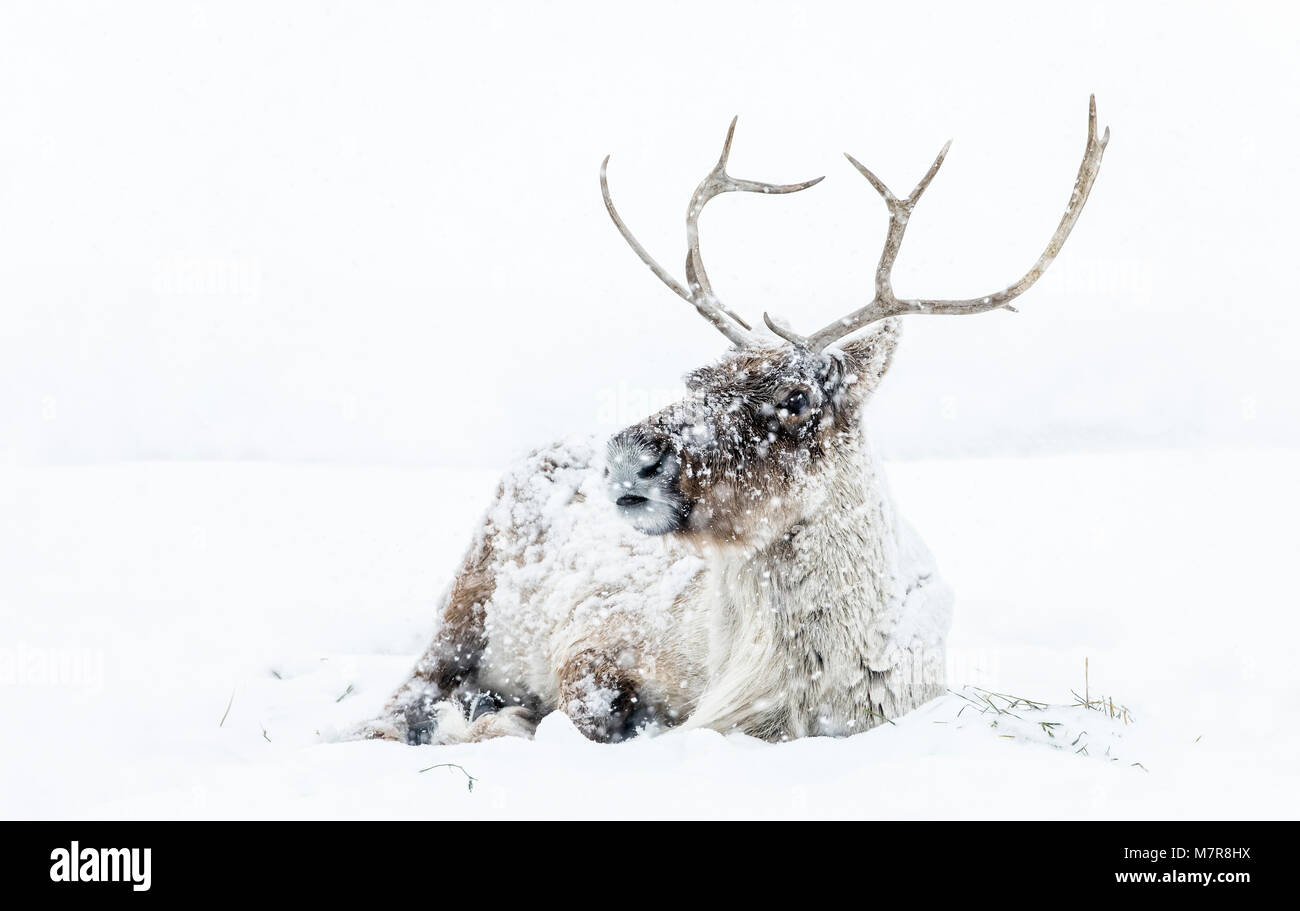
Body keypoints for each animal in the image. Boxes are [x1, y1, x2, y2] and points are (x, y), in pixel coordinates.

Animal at [359, 97, 1109, 745]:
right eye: (697, 376)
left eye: (798, 399)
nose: (627, 457)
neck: (778, 689)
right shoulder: (592, 637)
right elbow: (587, 713)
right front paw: (500, 720)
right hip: (466, 601)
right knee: (406, 696)